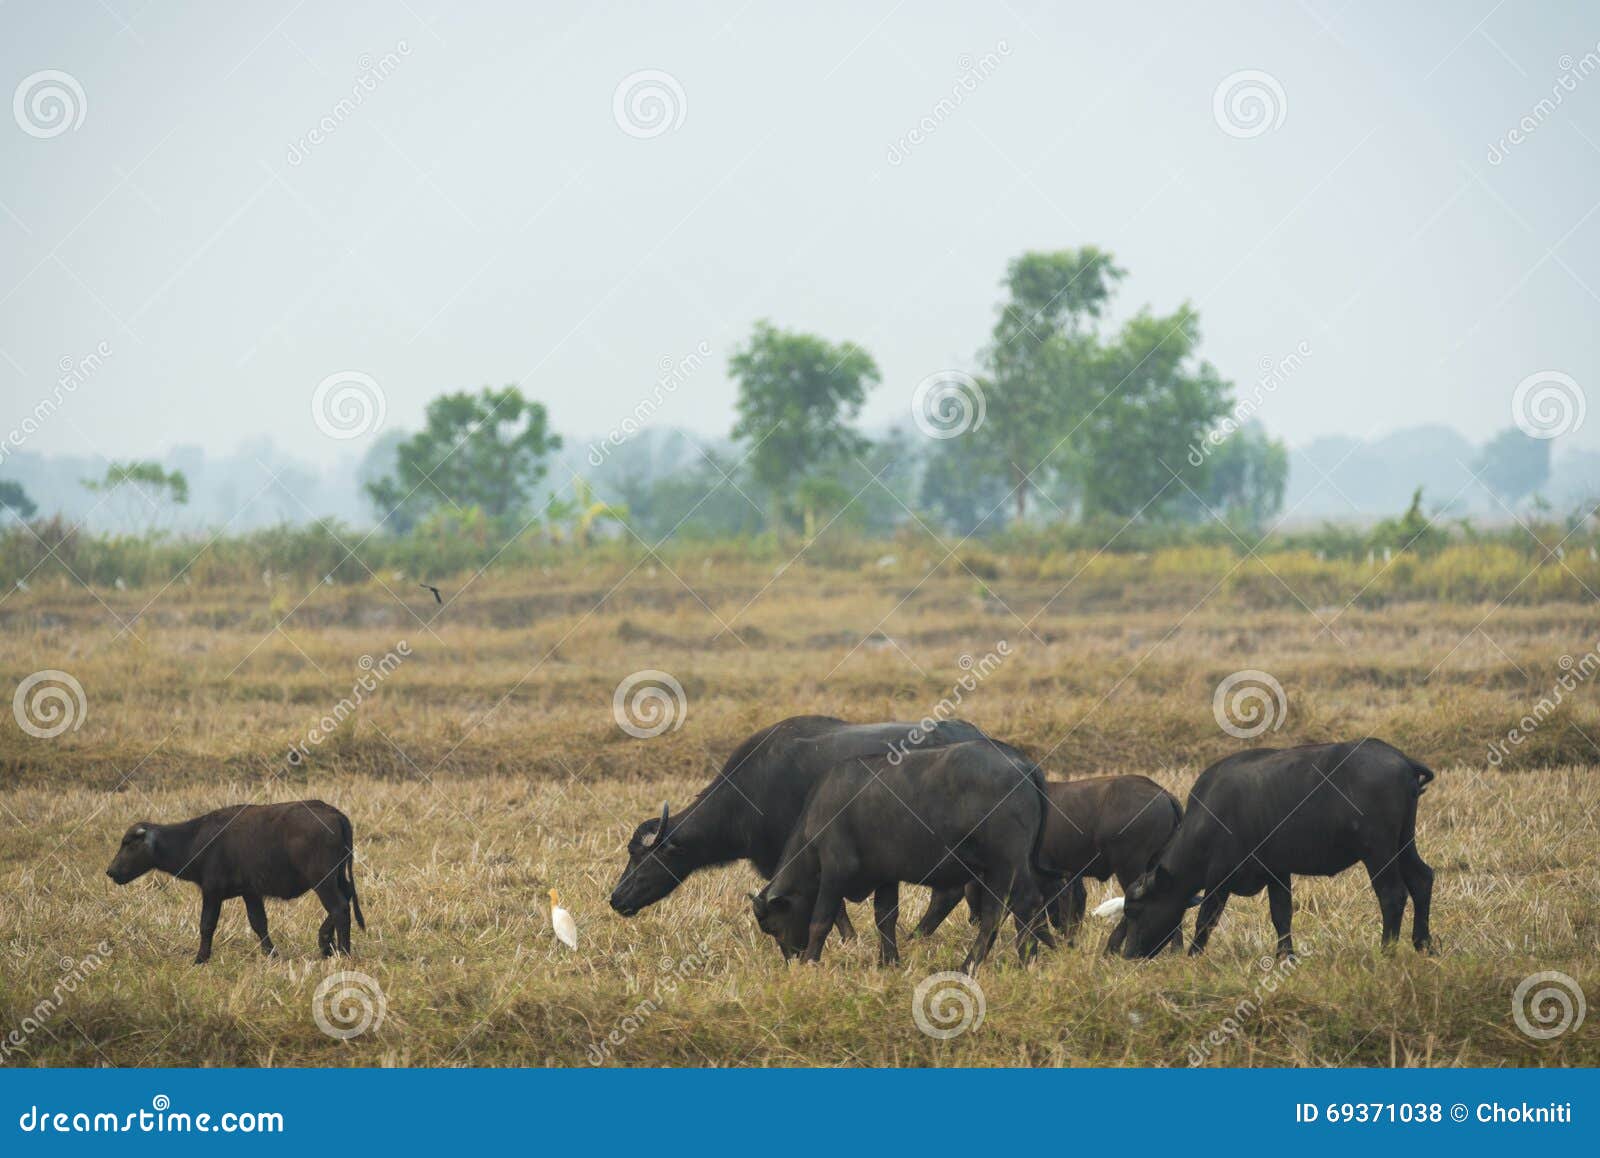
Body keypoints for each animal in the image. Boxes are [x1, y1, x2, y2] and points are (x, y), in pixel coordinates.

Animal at [106, 800, 364, 963]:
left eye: (128, 843)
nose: (110, 871)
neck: (194, 839)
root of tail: (334, 814)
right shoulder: (250, 893)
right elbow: (259, 923)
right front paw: (272, 955)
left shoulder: (212, 891)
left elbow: (206, 925)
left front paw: (200, 959)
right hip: (338, 877)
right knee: (346, 900)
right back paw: (326, 944)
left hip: (323, 881)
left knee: (340, 908)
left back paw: (343, 952)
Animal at [608, 715, 987, 941]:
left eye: (642, 859)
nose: (615, 899)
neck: (750, 793)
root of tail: (973, 733)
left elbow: (834, 906)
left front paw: (848, 939)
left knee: (950, 892)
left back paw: (916, 937)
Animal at [750, 739, 1055, 973]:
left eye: (772, 926)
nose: (791, 958)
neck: (817, 822)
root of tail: (1023, 765)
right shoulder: (886, 876)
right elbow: (885, 917)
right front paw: (889, 962)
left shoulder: (834, 875)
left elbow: (821, 921)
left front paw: (811, 963)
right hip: (1001, 869)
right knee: (1002, 912)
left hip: (1007, 864)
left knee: (1020, 905)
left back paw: (1010, 962)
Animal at [1119, 739, 1435, 959]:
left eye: (1134, 910)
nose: (1128, 955)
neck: (1209, 819)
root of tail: (1402, 760)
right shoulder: (1277, 872)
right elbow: (1281, 915)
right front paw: (1286, 955)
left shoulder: (1219, 878)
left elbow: (1206, 919)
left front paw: (1193, 955)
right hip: (1403, 843)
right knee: (1422, 879)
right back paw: (1424, 944)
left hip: (1379, 851)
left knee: (1392, 894)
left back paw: (1387, 950)